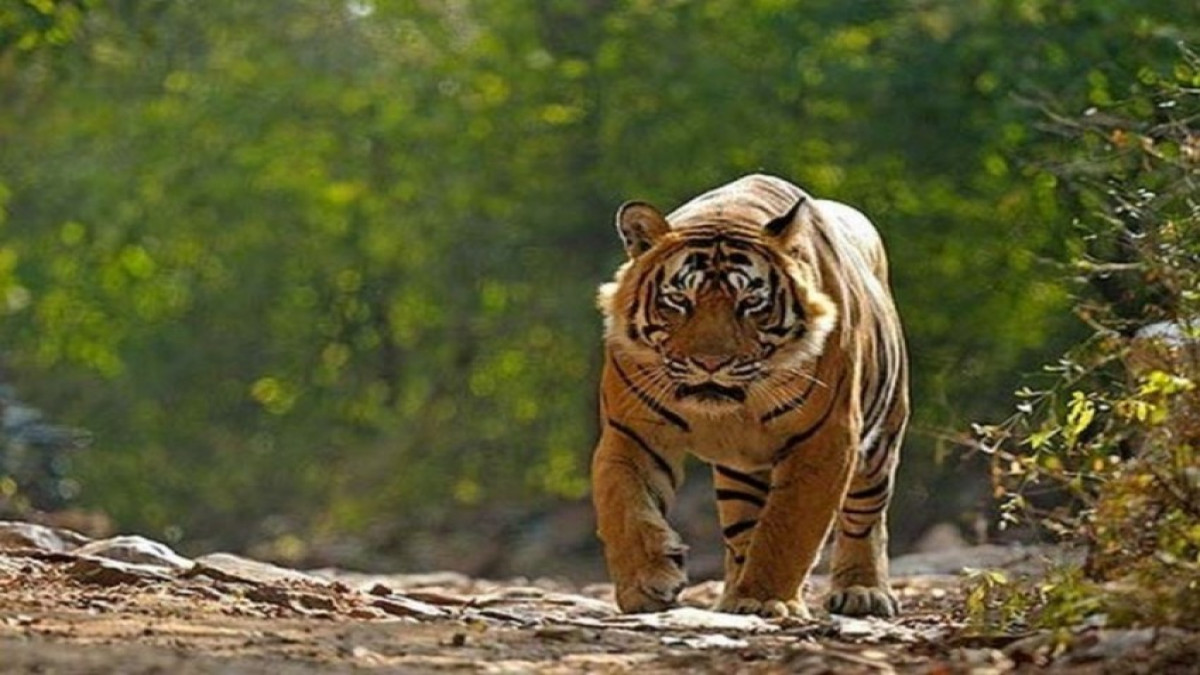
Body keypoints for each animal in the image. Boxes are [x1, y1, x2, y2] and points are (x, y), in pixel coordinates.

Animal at [592, 173, 909, 619]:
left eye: (750, 303)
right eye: (679, 300)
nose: (710, 363)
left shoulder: (826, 439)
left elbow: (788, 527)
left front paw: (765, 598)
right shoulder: (631, 433)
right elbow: (623, 507)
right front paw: (646, 583)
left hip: (880, 443)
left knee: (865, 517)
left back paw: (862, 592)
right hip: (739, 474)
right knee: (743, 531)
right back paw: (731, 598)